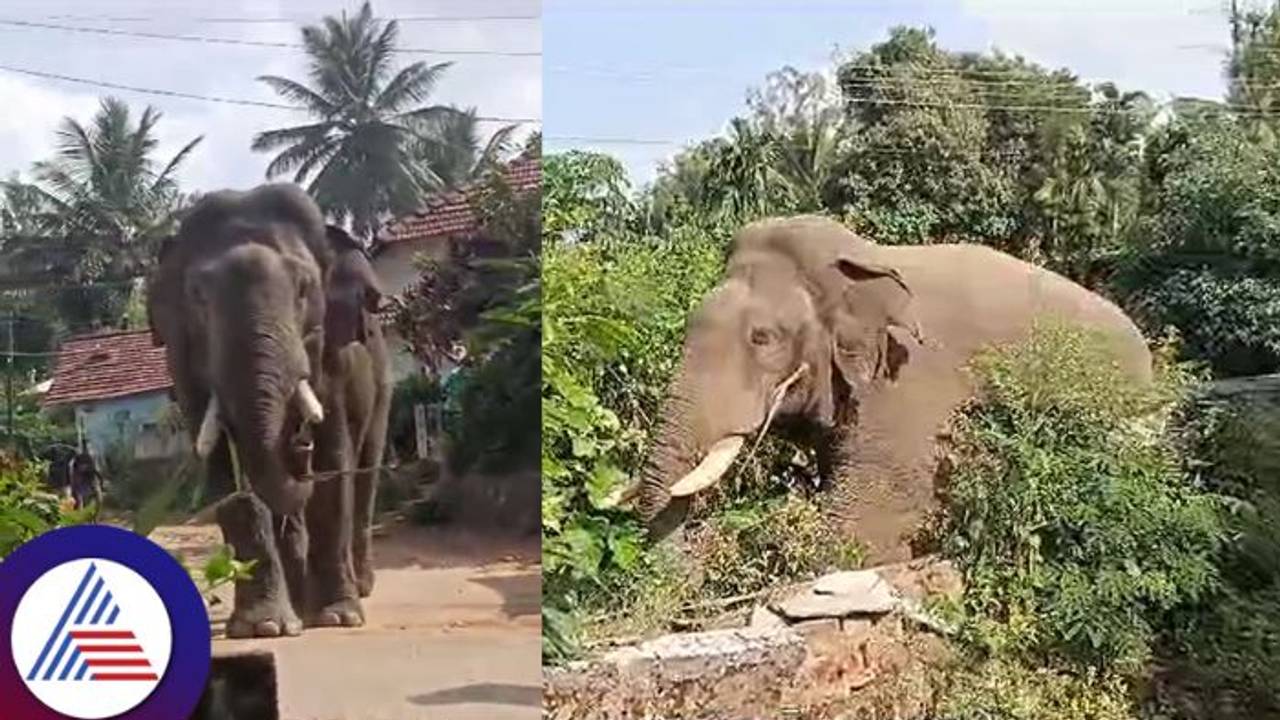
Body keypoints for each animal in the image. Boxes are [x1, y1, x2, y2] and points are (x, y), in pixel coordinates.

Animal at [147, 184, 390, 638]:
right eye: (197, 296)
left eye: (303, 288)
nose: (298, 442)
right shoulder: (183, 365)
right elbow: (227, 473)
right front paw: (263, 627)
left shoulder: (334, 360)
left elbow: (334, 467)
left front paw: (337, 618)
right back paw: (298, 602)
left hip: (383, 382)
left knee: (365, 469)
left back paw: (357, 589)